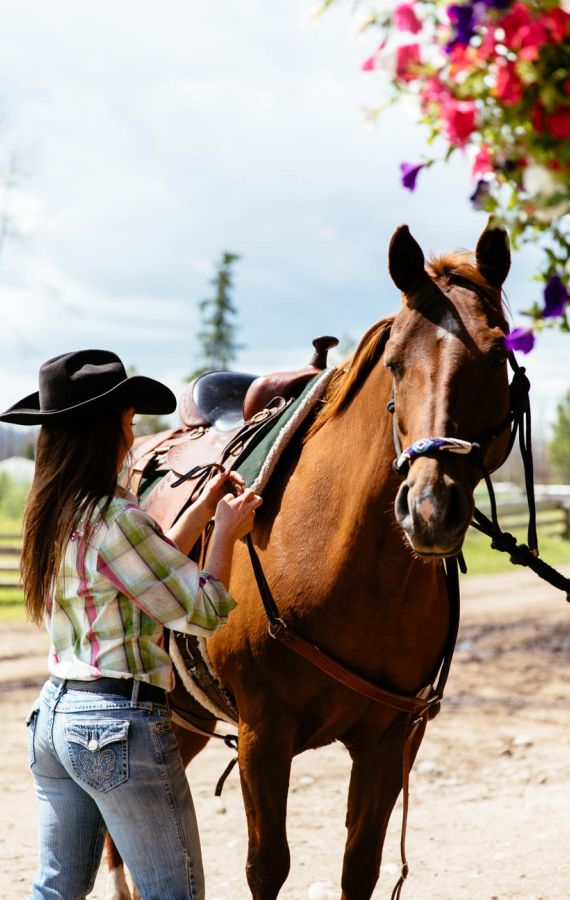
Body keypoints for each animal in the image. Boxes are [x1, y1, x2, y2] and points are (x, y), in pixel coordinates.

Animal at [107, 221, 513, 900]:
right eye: (396, 363)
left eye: (498, 355)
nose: (429, 508)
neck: (353, 574)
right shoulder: (262, 737)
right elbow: (267, 867)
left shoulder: (389, 740)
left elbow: (360, 868)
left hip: (181, 716)